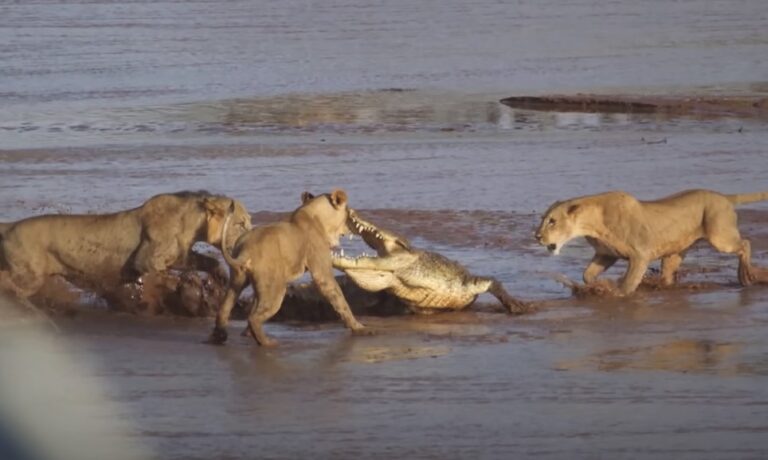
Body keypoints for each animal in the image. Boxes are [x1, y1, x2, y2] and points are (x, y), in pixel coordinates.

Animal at [0, 191, 252, 307]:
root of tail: (9, 225)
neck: (191, 223)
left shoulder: (180, 255)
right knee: (10, 286)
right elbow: (165, 277)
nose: (251, 236)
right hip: (29, 277)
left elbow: (208, 261)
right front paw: (189, 292)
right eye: (240, 223)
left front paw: (220, 277)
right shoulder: (147, 260)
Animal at [209, 189, 366, 347]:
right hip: (275, 289)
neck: (314, 215)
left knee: (224, 309)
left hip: (238, 282)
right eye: (348, 213)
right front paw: (359, 327)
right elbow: (341, 300)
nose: (354, 221)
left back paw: (220, 337)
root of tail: (246, 250)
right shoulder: (322, 275)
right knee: (254, 318)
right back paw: (267, 342)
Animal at [535, 189, 768, 296]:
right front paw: (597, 287)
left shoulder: (640, 254)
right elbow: (587, 274)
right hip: (674, 254)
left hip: (719, 237)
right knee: (668, 275)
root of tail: (723, 196)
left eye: (552, 221)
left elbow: (629, 281)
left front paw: (618, 293)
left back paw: (746, 276)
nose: (537, 236)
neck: (591, 224)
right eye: (543, 219)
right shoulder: (606, 254)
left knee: (745, 244)